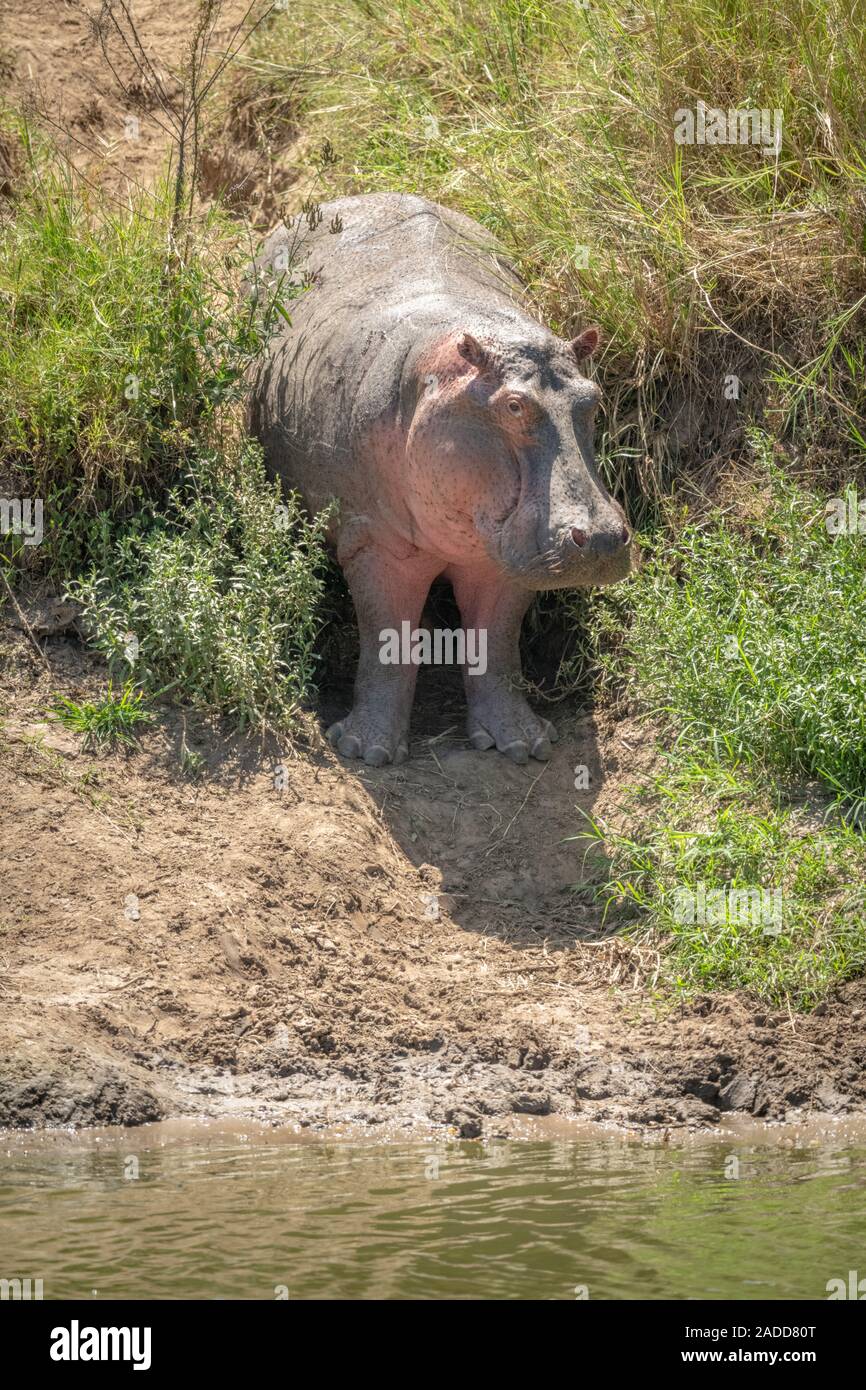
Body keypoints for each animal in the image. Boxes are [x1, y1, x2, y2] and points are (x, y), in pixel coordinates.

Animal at [249, 193, 632, 766]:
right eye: (513, 405)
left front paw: (524, 745)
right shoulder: (374, 542)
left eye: (593, 399)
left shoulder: (508, 555)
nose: (605, 538)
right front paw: (367, 751)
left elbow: (497, 642)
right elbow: (387, 640)